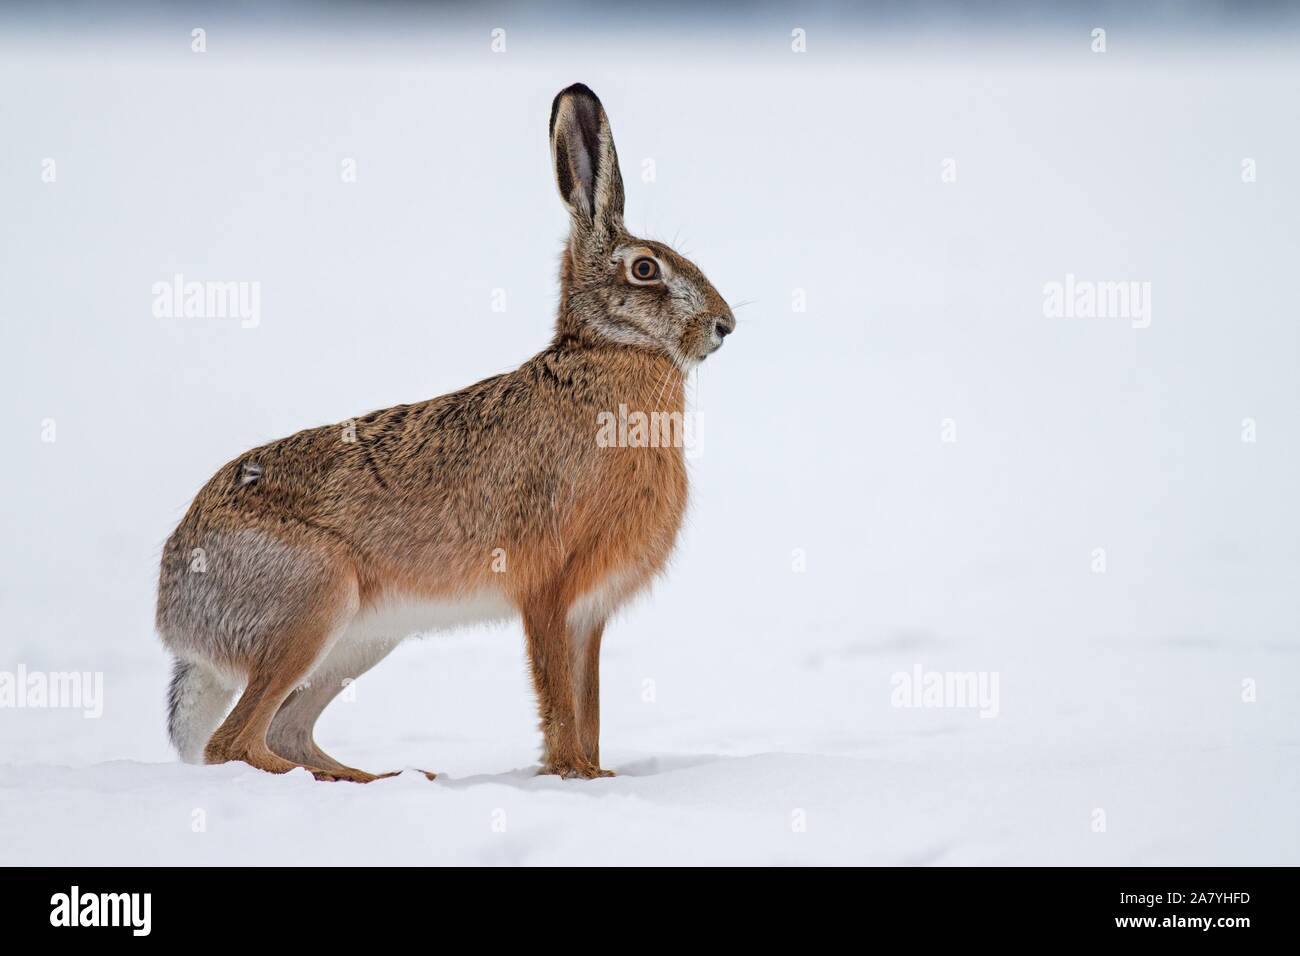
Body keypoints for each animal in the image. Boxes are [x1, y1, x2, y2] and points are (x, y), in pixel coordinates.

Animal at [156, 83, 736, 782]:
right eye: (645, 270)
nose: (725, 326)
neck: (607, 353)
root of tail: (176, 614)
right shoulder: (547, 590)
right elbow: (559, 698)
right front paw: (569, 773)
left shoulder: (590, 612)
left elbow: (590, 701)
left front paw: (597, 775)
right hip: (313, 601)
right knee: (234, 743)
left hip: (362, 638)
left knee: (288, 730)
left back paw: (392, 779)